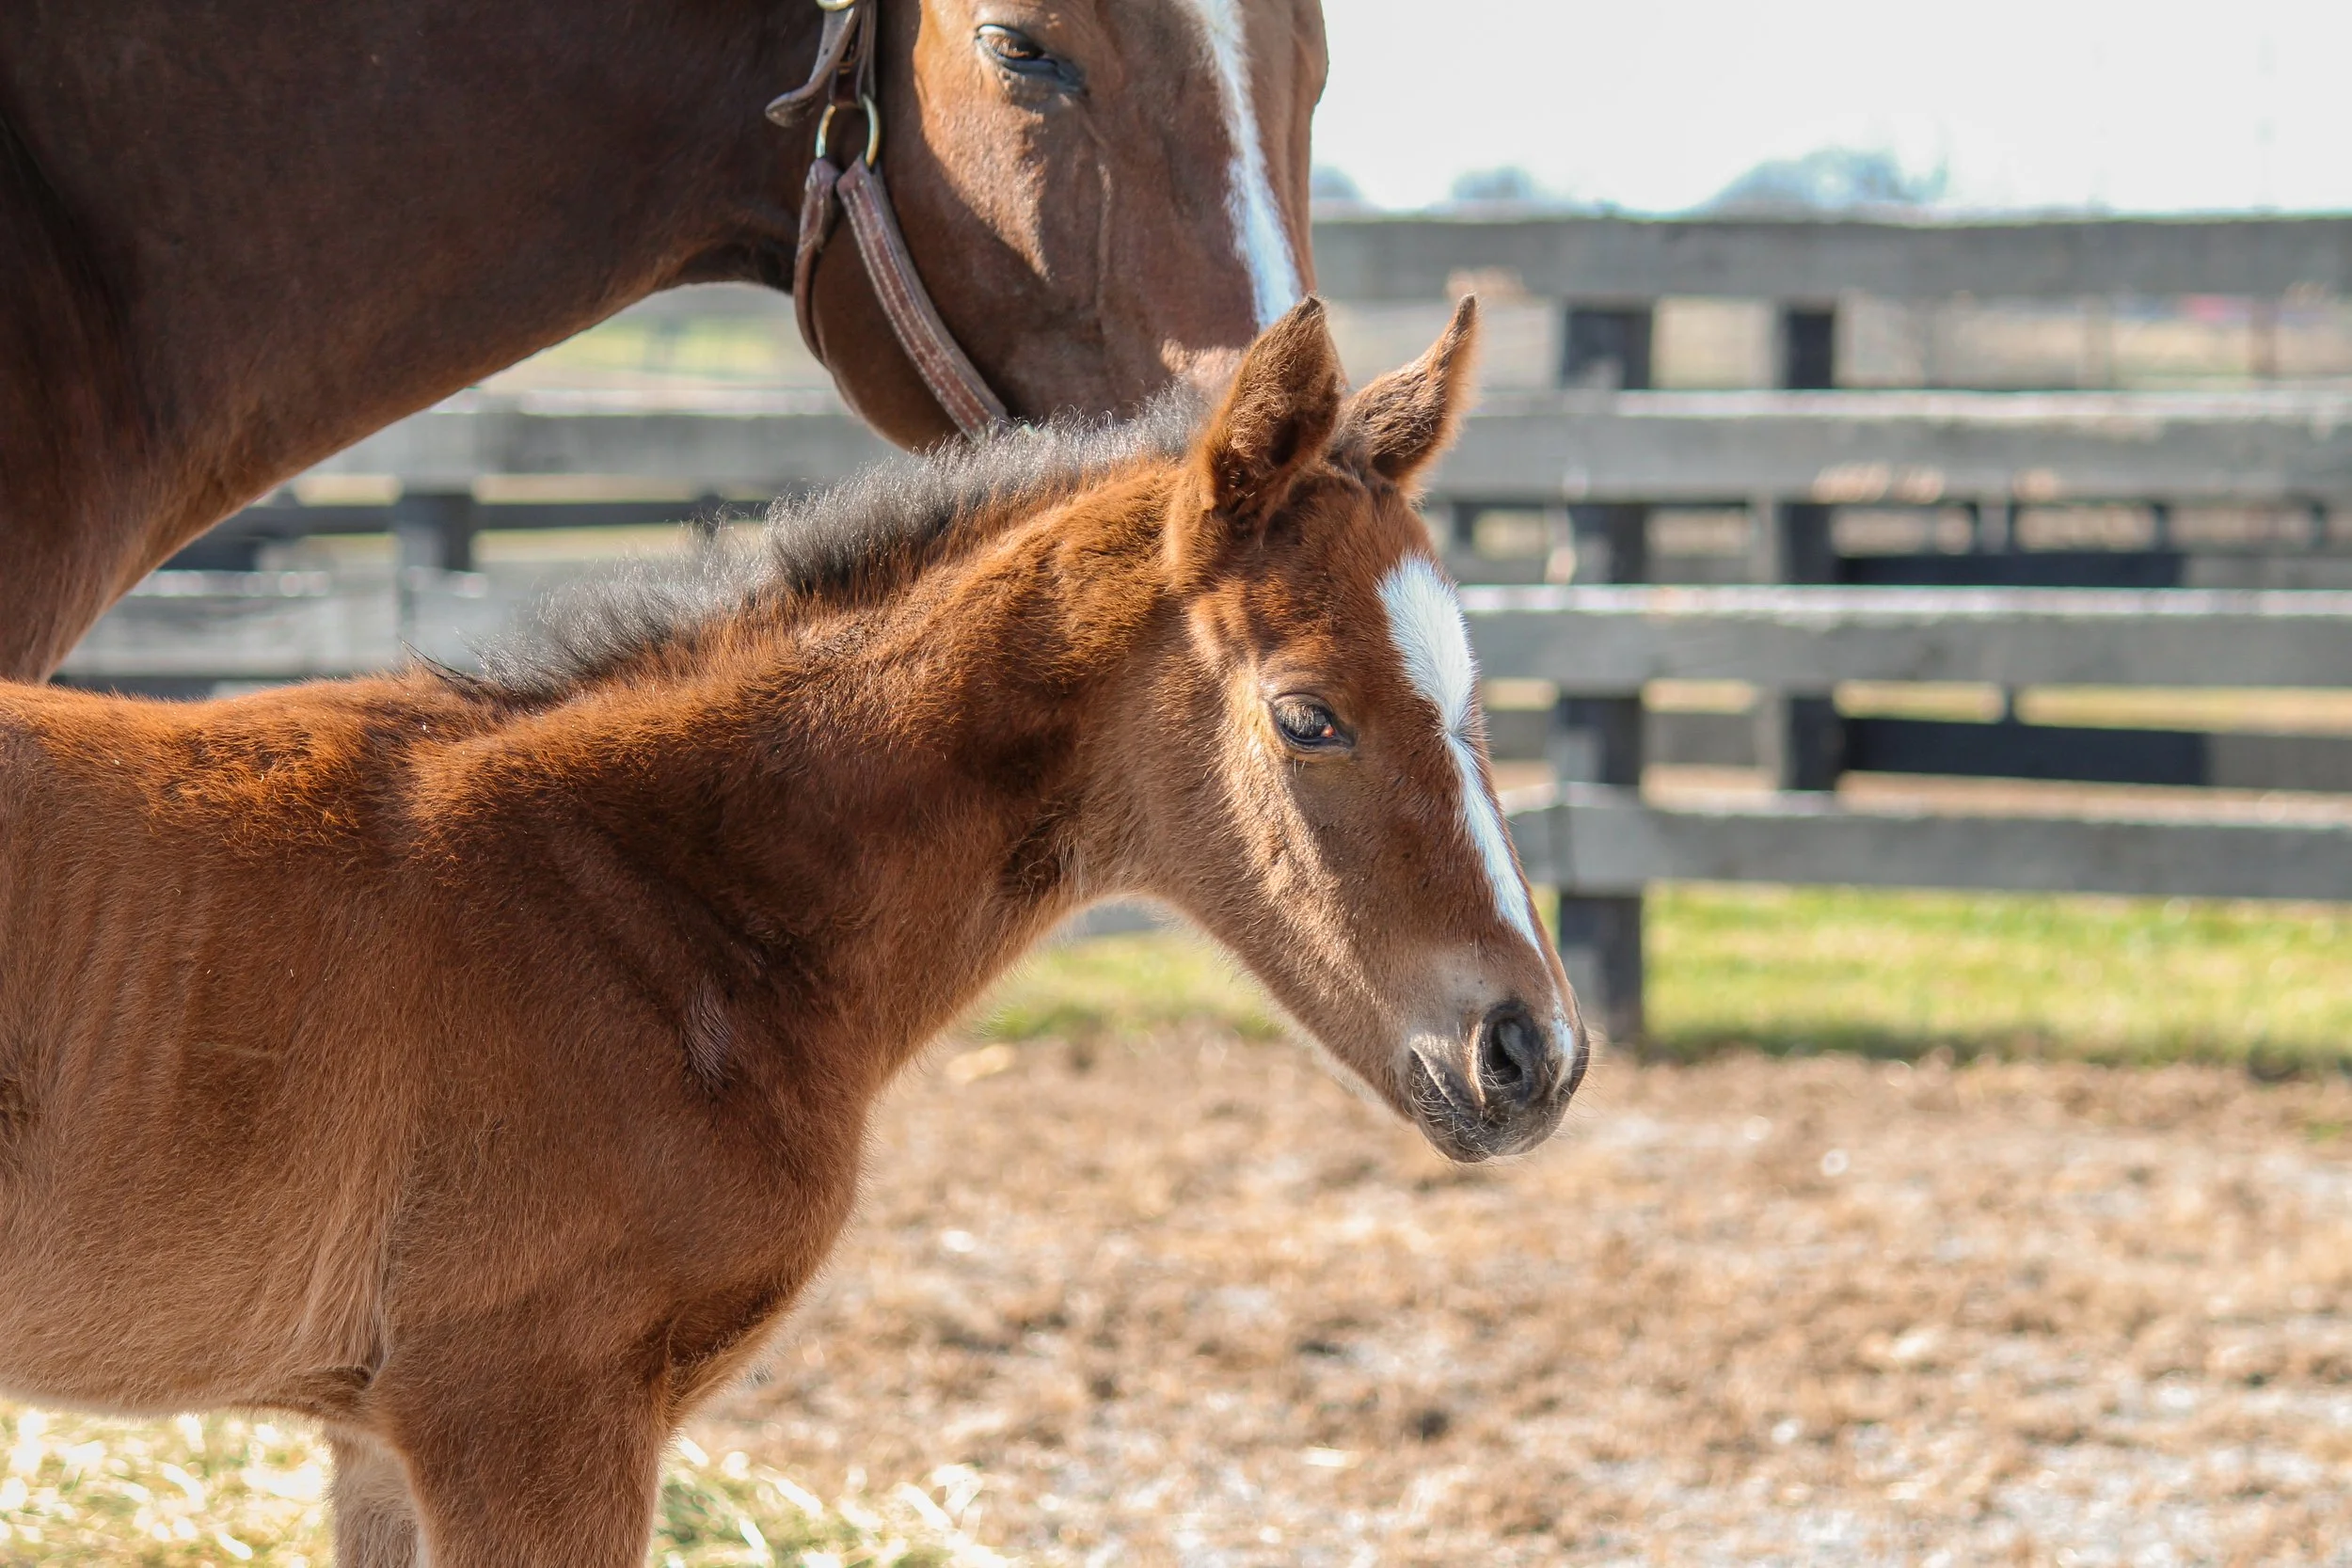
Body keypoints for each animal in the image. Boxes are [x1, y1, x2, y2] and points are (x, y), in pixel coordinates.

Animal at [0, 296, 1585, 1566]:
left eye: (1476, 695)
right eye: (1306, 714)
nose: (1532, 1053)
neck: (651, 887)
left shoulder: (378, 1433)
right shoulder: (521, 1405)